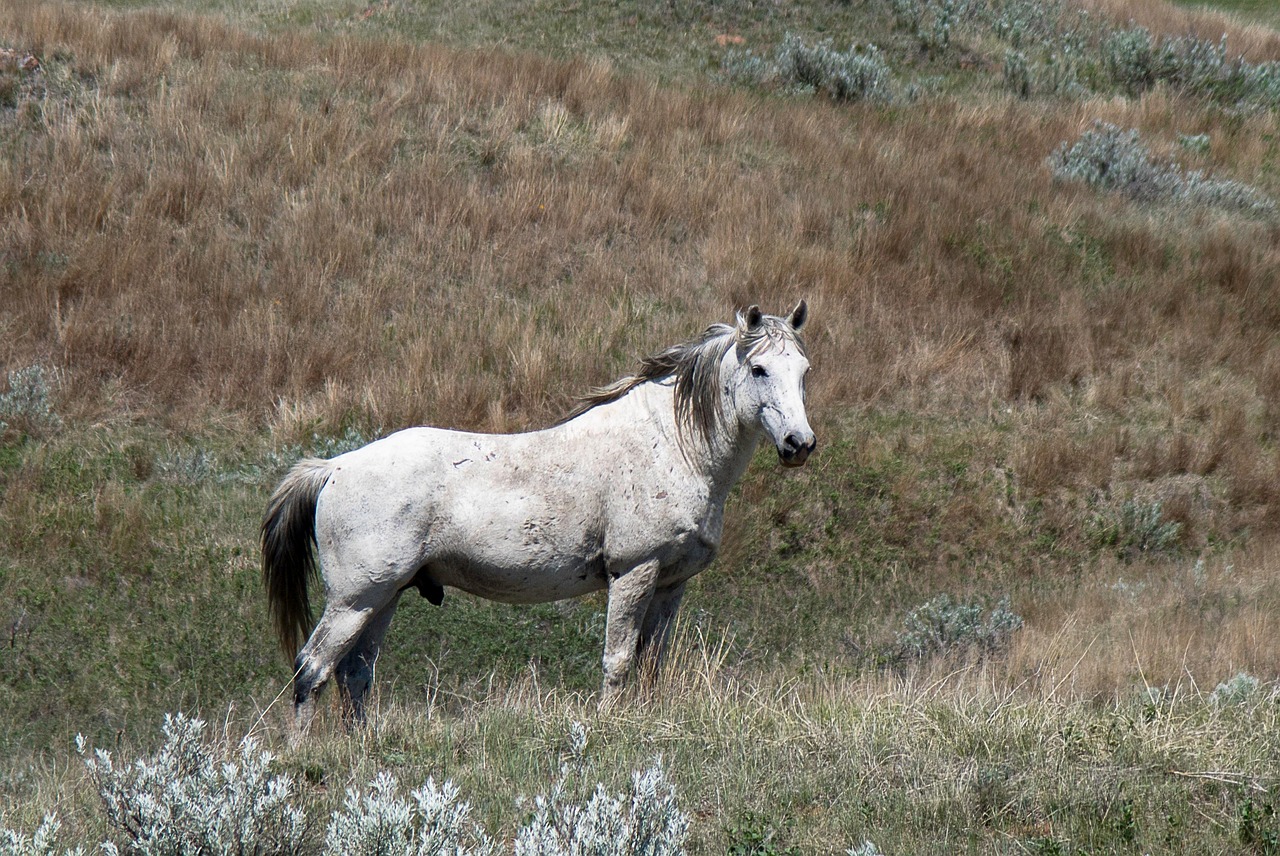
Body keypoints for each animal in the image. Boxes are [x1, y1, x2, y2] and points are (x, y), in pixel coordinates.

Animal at [262, 301, 816, 731]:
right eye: (760, 370)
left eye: (804, 371)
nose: (800, 444)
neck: (670, 443)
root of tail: (334, 468)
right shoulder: (633, 572)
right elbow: (618, 661)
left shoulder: (670, 584)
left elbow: (651, 664)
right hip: (354, 600)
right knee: (312, 669)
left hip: (383, 597)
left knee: (354, 674)